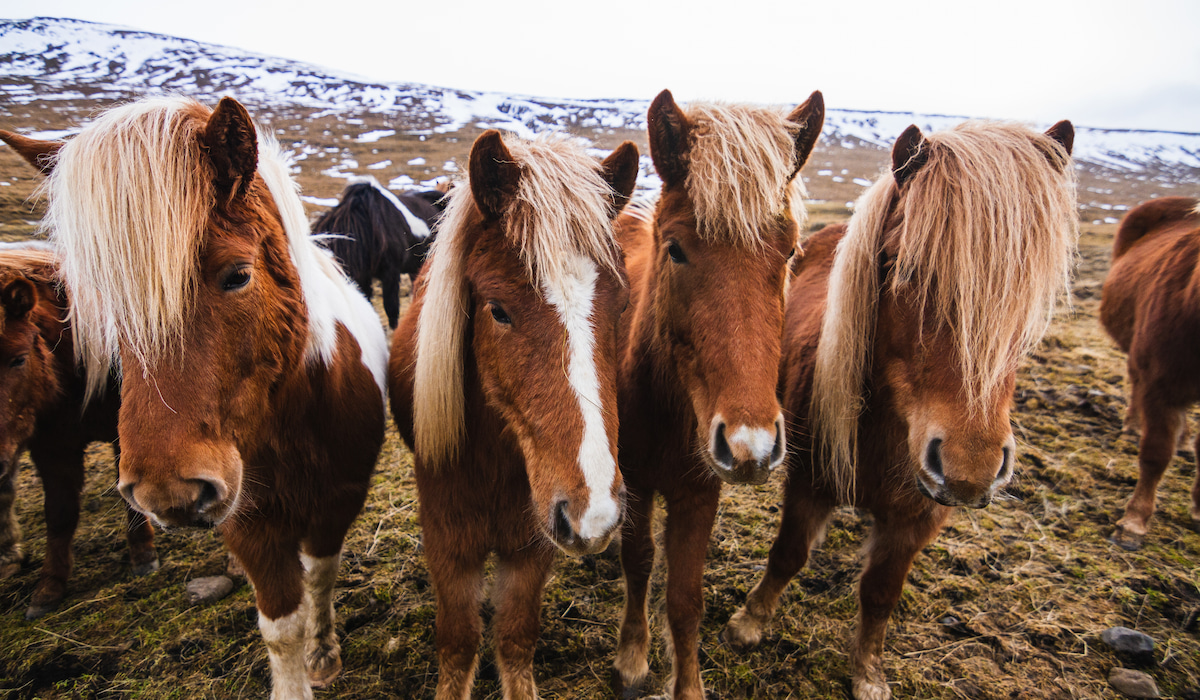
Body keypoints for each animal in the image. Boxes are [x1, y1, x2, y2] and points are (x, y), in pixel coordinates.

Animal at [389, 129, 639, 700]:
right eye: (498, 310)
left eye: (621, 306)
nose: (594, 513)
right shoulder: (448, 538)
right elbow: (459, 640)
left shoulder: (531, 543)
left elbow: (515, 635)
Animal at [611, 89, 825, 699]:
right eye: (675, 249)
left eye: (791, 252)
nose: (752, 447)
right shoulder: (635, 482)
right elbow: (638, 562)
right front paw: (632, 658)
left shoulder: (700, 492)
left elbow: (685, 600)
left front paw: (687, 686)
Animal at [722, 120, 1077, 700]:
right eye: (905, 269)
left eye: (1027, 293)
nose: (969, 469)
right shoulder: (809, 482)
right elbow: (788, 553)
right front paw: (749, 623)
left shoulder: (920, 517)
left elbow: (881, 592)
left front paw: (868, 674)